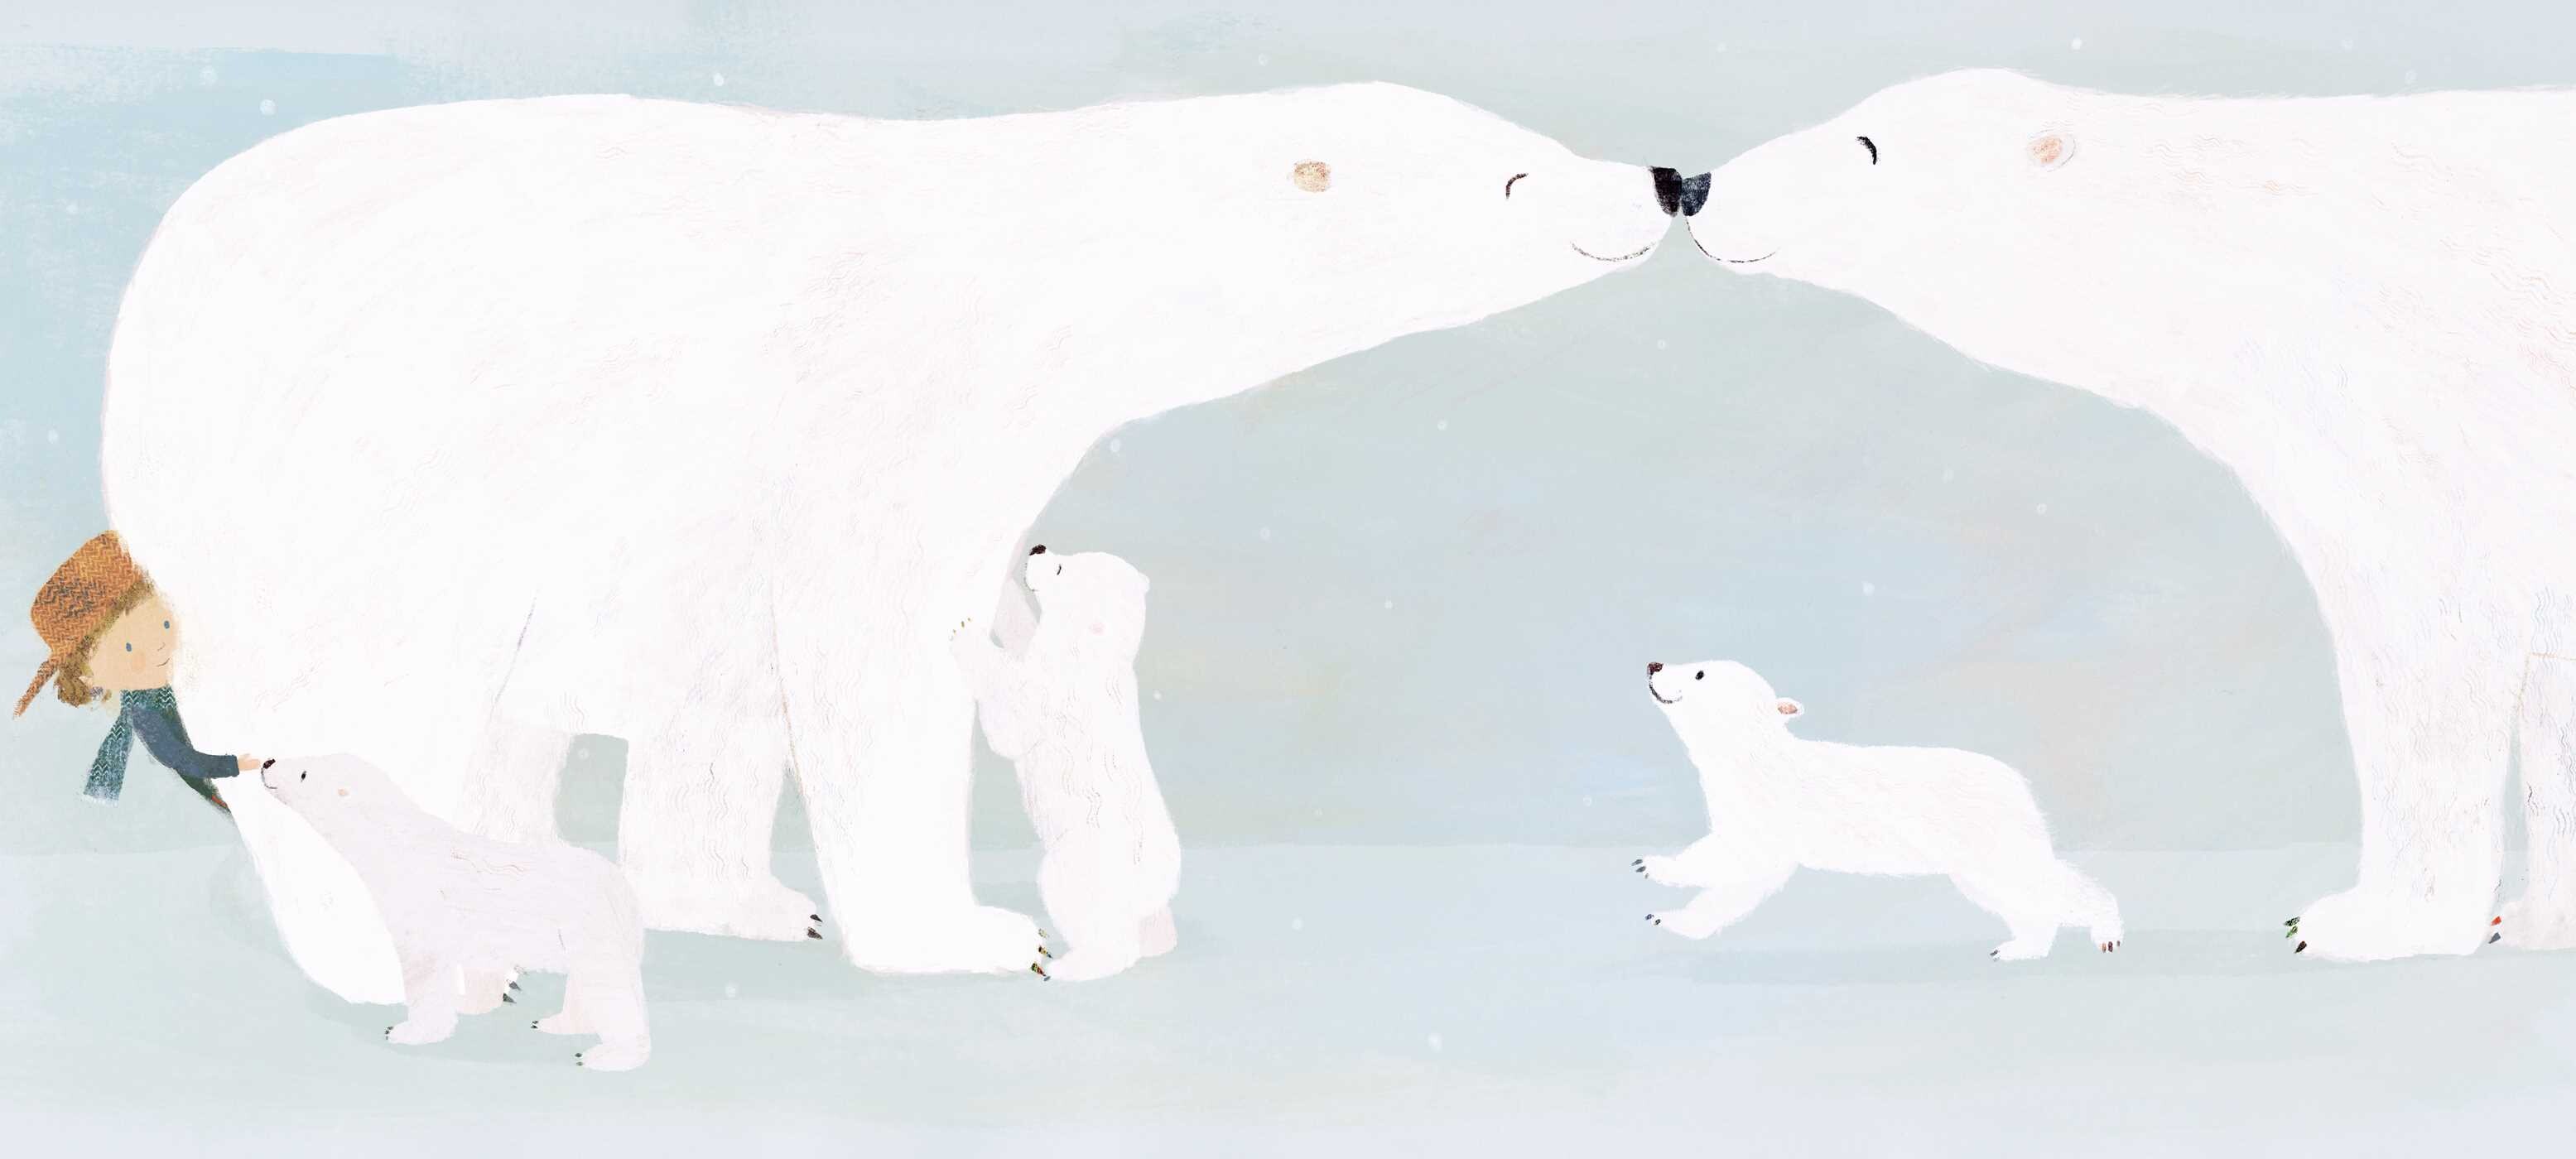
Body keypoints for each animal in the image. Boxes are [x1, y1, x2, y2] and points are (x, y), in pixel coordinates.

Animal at [257, 756, 651, 1071]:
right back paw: (557, 1022)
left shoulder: (420, 903)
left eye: (305, 773)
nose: (268, 762)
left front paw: (407, 1031)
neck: (394, 843)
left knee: (608, 986)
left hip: (587, 924)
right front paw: (468, 1002)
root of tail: (622, 888)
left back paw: (608, 1055)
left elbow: (425, 970)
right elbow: (482, 964)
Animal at [950, 545, 1180, 982]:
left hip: (1084, 857)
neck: (1091, 656)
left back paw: (1070, 965)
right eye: (1072, 554)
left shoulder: (1055, 696)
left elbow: (1012, 725)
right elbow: (1024, 637)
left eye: (1061, 568)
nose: (1037, 548)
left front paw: (967, 629)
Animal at [1633, 660, 2123, 959]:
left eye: (1700, 672)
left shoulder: (1770, 812)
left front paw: (1659, 889)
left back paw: (2107, 932)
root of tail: (2021, 784)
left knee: (2038, 880)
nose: (1654, 664)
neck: (1753, 759)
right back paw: (2018, 946)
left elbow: (1739, 865)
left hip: (1990, 831)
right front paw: (1656, 888)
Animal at [1682, 68, 2576, 961]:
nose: (1693, 187)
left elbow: (2432, 648)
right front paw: (2539, 920)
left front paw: (2365, 921)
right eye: (1853, 117)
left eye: (1867, 144)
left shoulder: (2428, 422)